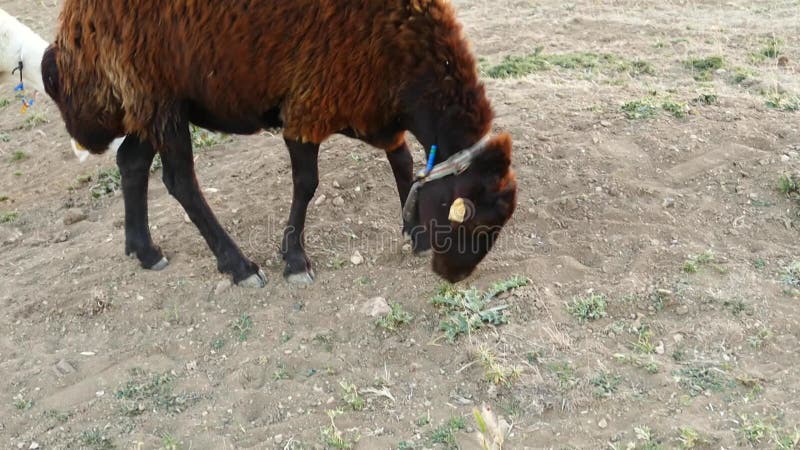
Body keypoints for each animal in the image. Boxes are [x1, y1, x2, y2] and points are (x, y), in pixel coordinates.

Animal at [42, 0, 518, 287]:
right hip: (158, 95)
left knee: (131, 162)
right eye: (469, 218)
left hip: (149, 100)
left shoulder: (366, 106)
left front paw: (414, 233)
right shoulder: (310, 103)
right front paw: (294, 260)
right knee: (180, 181)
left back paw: (143, 249)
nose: (453, 277)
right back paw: (238, 266)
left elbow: (401, 160)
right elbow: (307, 184)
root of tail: (73, 26)